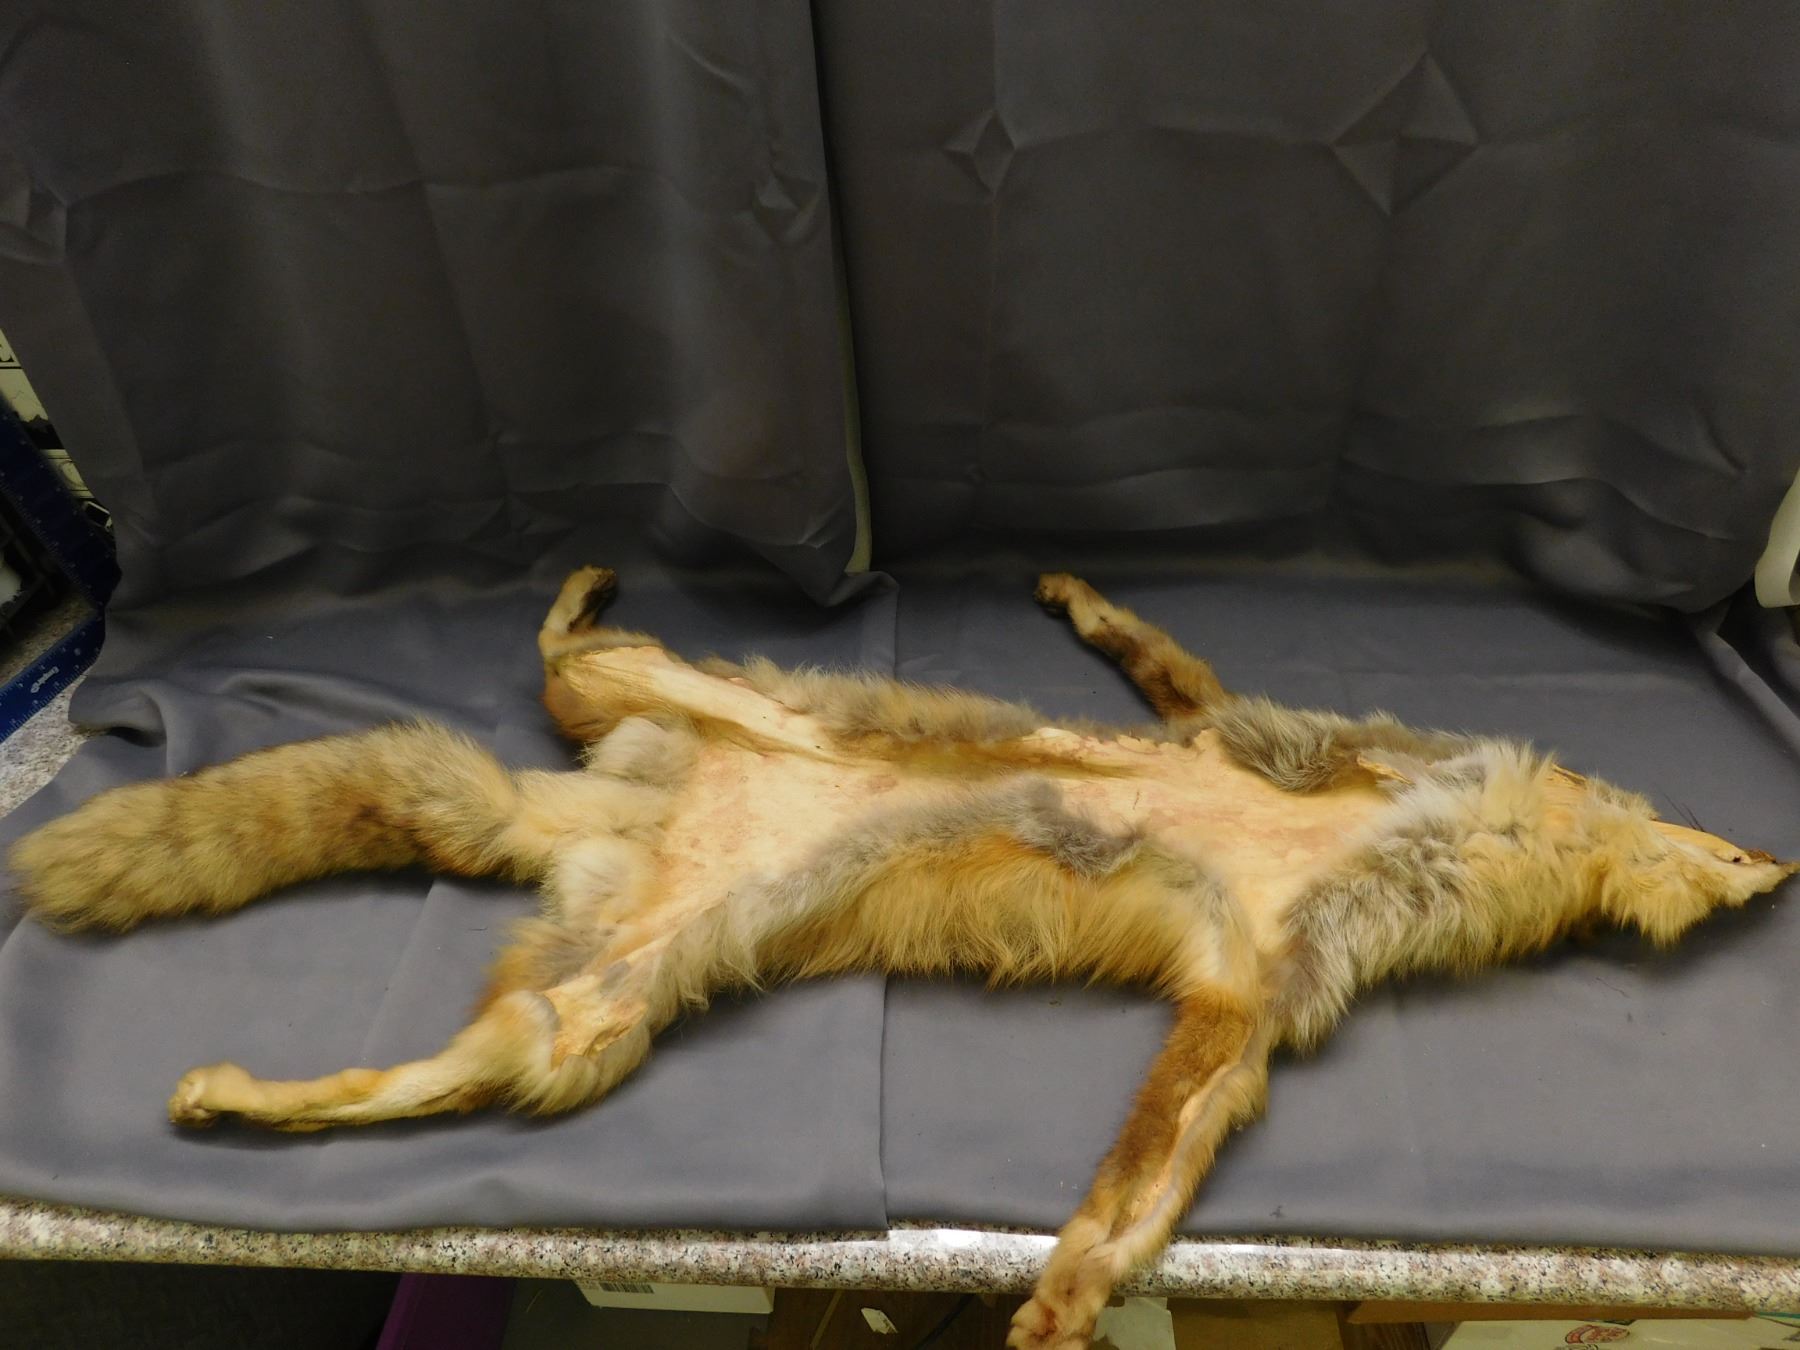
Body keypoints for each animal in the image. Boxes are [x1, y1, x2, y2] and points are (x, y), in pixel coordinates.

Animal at [9, 567, 1794, 1350]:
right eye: (1673, 819)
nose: (1758, 855)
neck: (1390, 838)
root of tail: (611, 802)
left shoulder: (1242, 1005)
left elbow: (1136, 1193)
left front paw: (1064, 1306)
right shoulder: (1262, 742)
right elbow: (1156, 653)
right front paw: (1075, 592)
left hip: (598, 1006)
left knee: (452, 1063)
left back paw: (248, 1094)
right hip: (656, 704)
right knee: (560, 643)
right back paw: (573, 584)